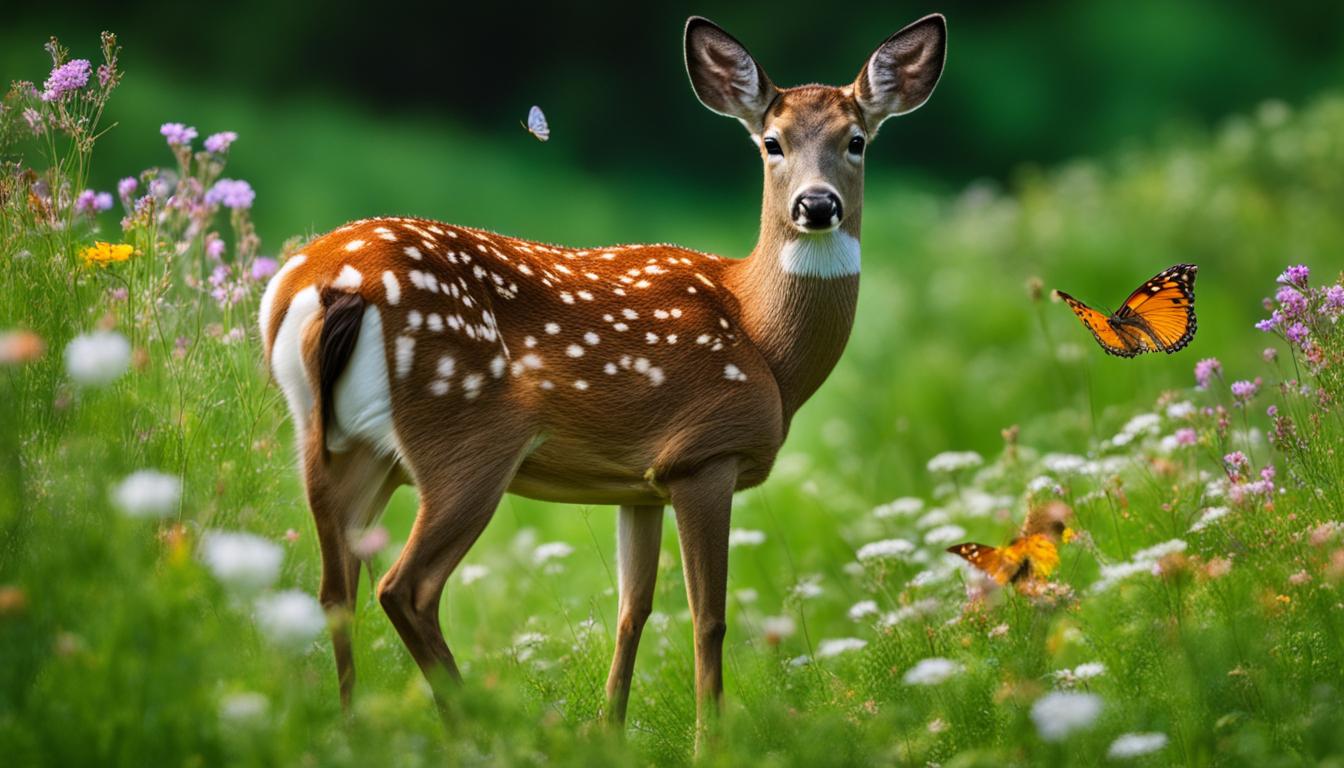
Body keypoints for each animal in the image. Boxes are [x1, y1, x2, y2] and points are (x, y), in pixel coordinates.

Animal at [258, 13, 946, 746]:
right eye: (771, 142)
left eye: (857, 140)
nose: (817, 205)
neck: (763, 340)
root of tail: (325, 286)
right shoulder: (707, 452)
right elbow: (709, 617)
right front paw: (710, 743)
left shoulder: (641, 481)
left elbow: (632, 609)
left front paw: (611, 730)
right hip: (463, 437)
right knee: (403, 587)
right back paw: (481, 731)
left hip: (340, 444)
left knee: (334, 589)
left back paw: (350, 729)